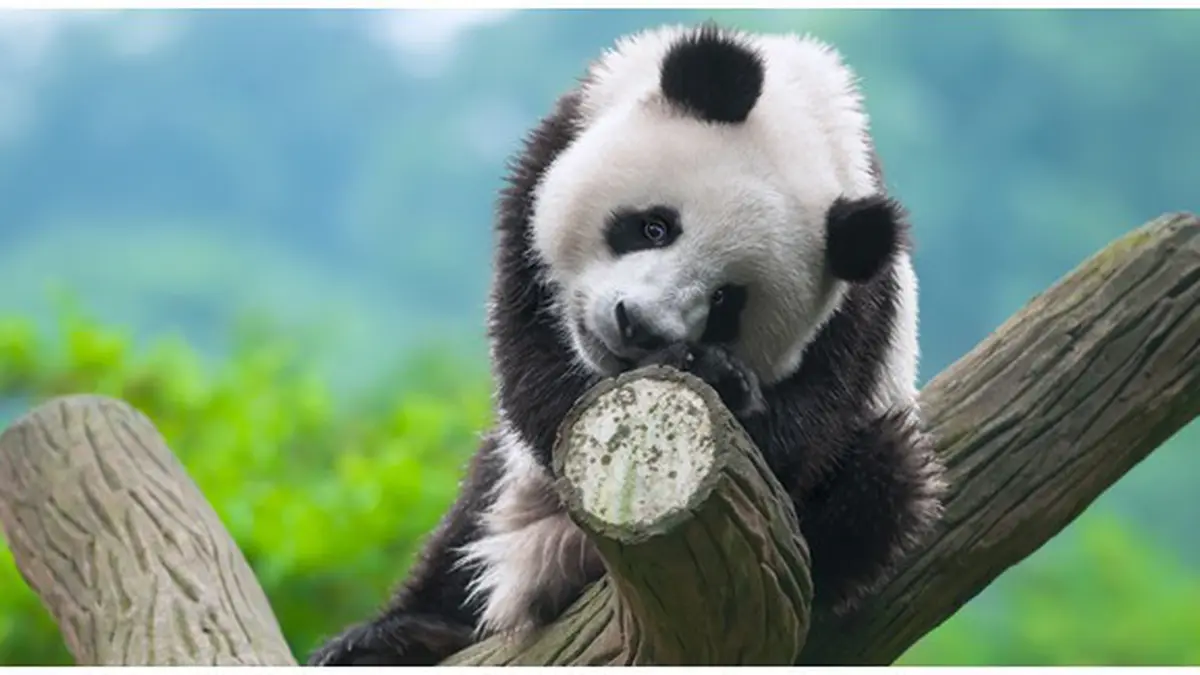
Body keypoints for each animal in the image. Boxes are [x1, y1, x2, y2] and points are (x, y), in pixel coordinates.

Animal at [308, 21, 946, 666]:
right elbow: (532, 363)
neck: (806, 111)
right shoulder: (557, 149)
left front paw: (722, 381)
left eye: (727, 302)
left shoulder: (859, 312)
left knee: (883, 483)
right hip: (510, 493)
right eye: (654, 226)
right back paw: (397, 635)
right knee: (469, 523)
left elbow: (800, 433)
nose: (635, 325)